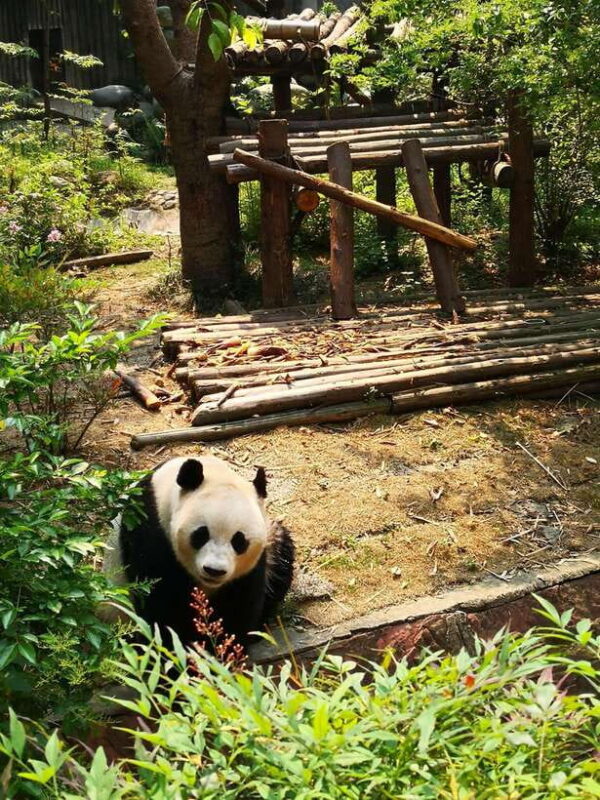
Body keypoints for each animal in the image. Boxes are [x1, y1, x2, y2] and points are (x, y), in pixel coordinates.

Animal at [103, 455, 295, 648]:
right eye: (201, 534)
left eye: (239, 541)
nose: (214, 570)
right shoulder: (149, 526)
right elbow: (161, 603)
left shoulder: (252, 565)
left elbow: (239, 607)